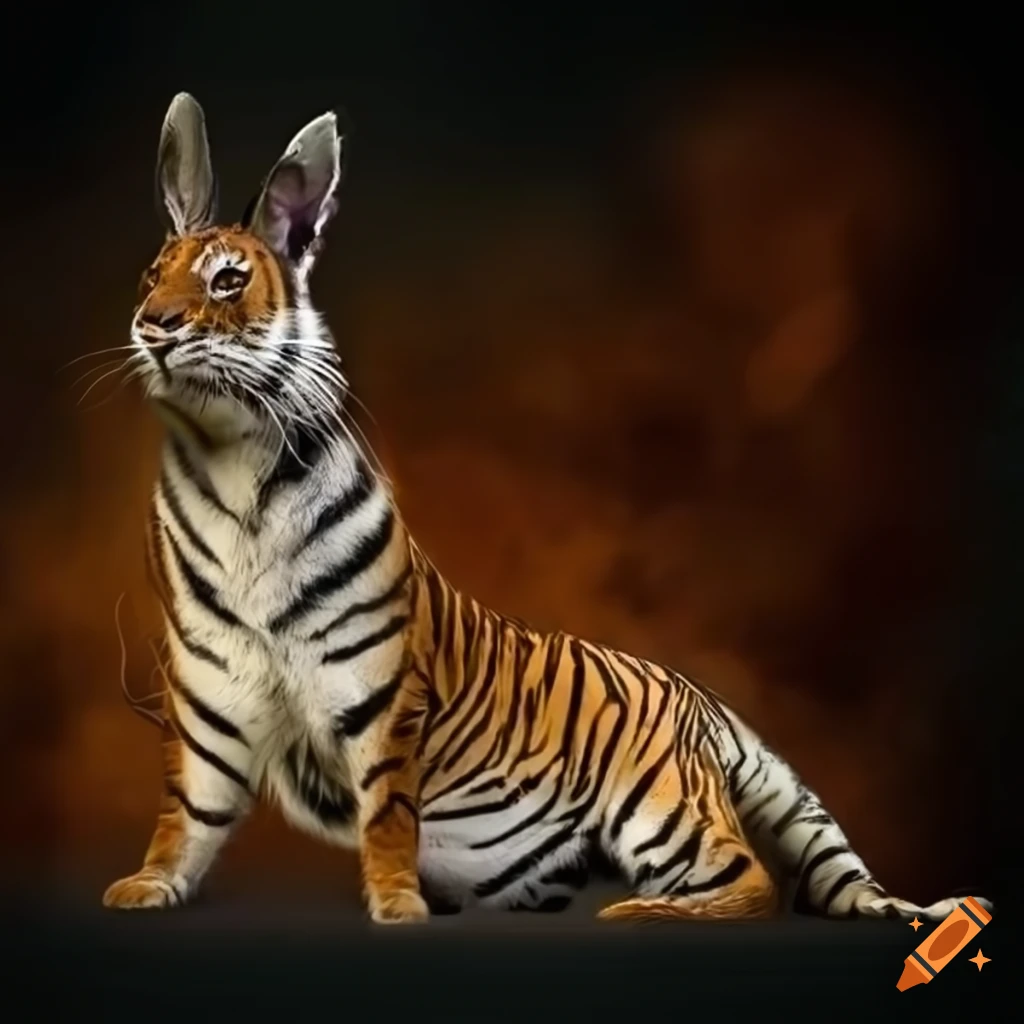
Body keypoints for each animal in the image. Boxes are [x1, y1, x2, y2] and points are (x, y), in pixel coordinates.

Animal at [102, 92, 988, 925]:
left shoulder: (380, 696)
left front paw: (396, 906)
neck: (235, 468)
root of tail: (704, 700)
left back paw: (638, 915)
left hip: (661, 809)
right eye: (153, 277)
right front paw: (148, 885)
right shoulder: (211, 695)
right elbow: (189, 811)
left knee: (755, 883)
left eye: (226, 280)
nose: (152, 325)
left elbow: (387, 812)